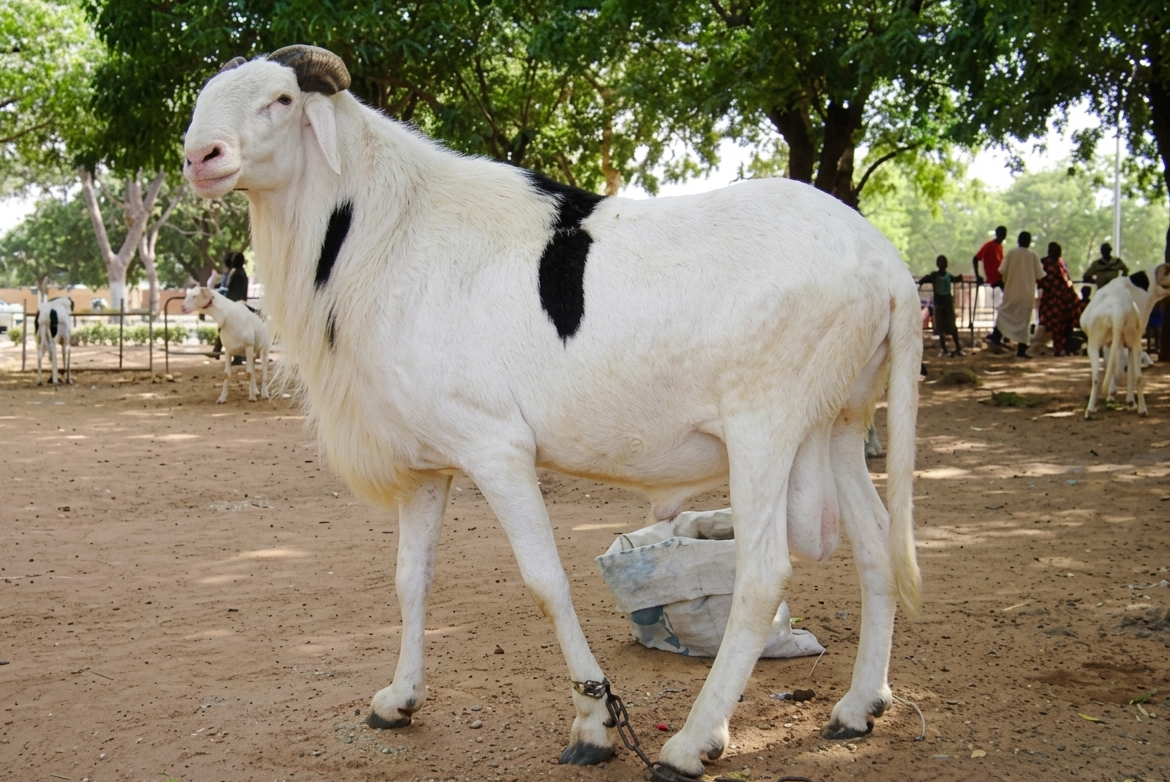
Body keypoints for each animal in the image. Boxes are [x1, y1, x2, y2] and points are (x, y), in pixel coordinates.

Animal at [183, 45, 923, 775]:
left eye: (282, 99)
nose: (200, 156)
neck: (390, 232)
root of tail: (885, 263)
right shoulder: (427, 466)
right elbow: (411, 580)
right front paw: (399, 700)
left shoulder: (496, 449)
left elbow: (546, 582)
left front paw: (595, 724)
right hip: (838, 421)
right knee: (876, 545)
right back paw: (859, 707)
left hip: (763, 426)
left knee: (763, 575)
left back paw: (693, 742)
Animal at [1081, 266, 1170, 418]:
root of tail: (1118, 309)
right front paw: (1117, 397)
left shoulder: (1111, 345)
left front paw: (1114, 395)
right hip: (1132, 342)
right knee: (1137, 375)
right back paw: (1140, 408)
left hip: (1094, 345)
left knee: (1097, 378)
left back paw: (1091, 410)